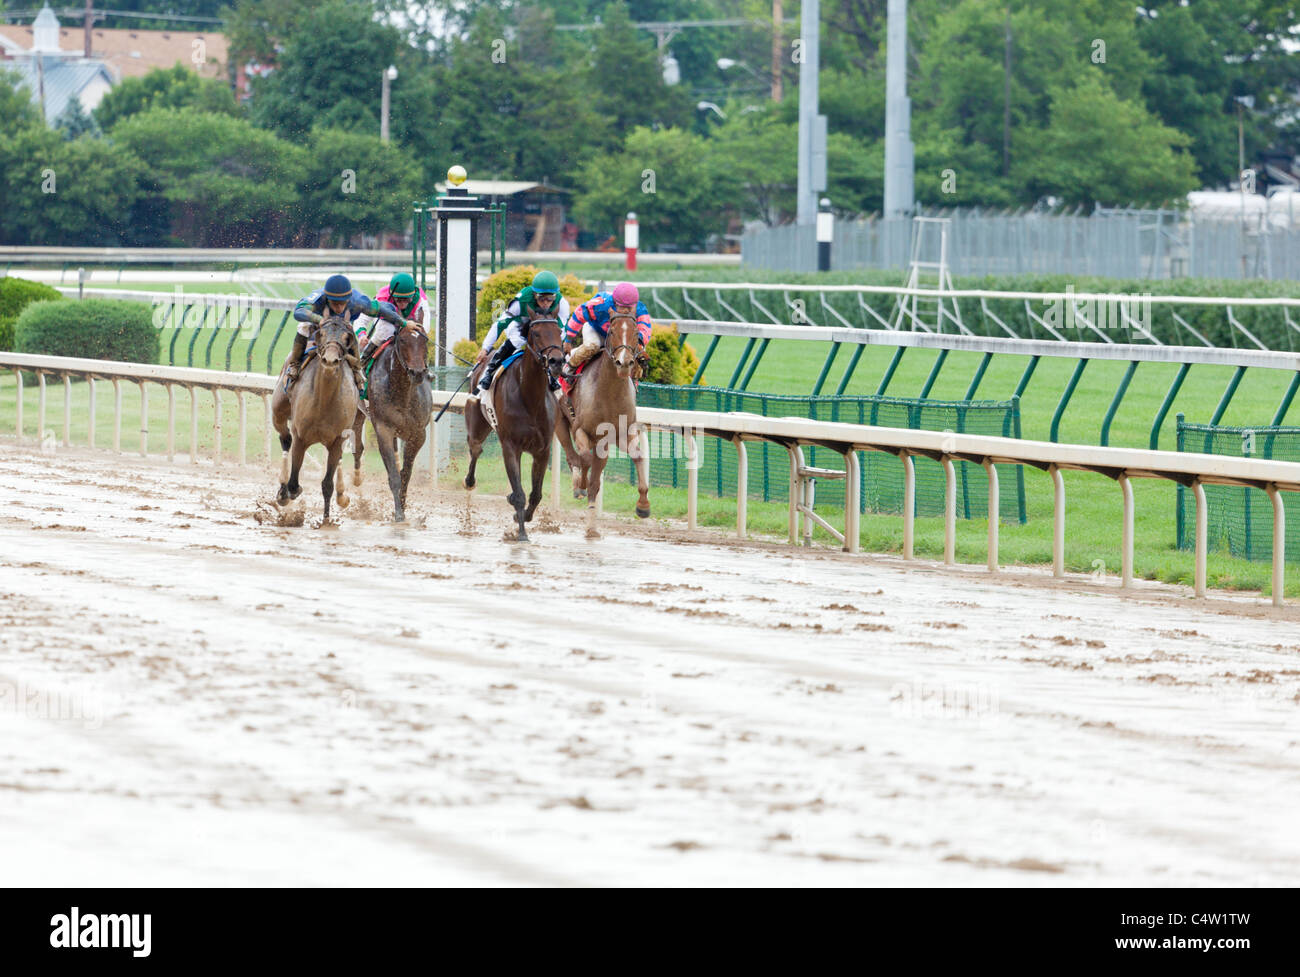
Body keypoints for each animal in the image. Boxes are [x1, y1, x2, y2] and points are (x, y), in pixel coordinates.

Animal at [270, 314, 359, 522]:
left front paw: (326, 520)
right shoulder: (301, 437)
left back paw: (342, 497)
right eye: (323, 333)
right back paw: (282, 491)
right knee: (285, 439)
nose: (330, 360)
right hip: (278, 410)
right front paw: (287, 494)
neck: (324, 401)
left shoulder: (337, 440)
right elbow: (294, 483)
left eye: (346, 337)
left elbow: (327, 484)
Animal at [348, 324, 432, 523]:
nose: (418, 373)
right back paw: (355, 480)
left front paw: (402, 505)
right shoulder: (383, 430)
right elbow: (394, 475)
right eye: (402, 340)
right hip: (356, 412)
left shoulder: (418, 435)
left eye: (424, 340)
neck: (403, 393)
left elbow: (405, 474)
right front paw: (399, 514)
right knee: (356, 447)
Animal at [463, 314, 565, 542]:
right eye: (536, 333)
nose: (556, 361)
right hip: (478, 423)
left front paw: (523, 517)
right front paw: (521, 534)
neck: (530, 399)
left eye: (559, 331)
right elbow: (519, 494)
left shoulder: (542, 450)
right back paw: (469, 481)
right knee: (475, 448)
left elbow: (536, 494)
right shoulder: (510, 446)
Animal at [555, 312, 651, 538]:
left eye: (636, 332)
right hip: (560, 421)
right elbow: (585, 460)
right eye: (612, 331)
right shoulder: (581, 430)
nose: (624, 362)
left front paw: (643, 505)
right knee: (572, 456)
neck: (609, 392)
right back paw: (578, 485)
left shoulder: (621, 435)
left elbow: (638, 456)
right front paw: (580, 484)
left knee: (592, 477)